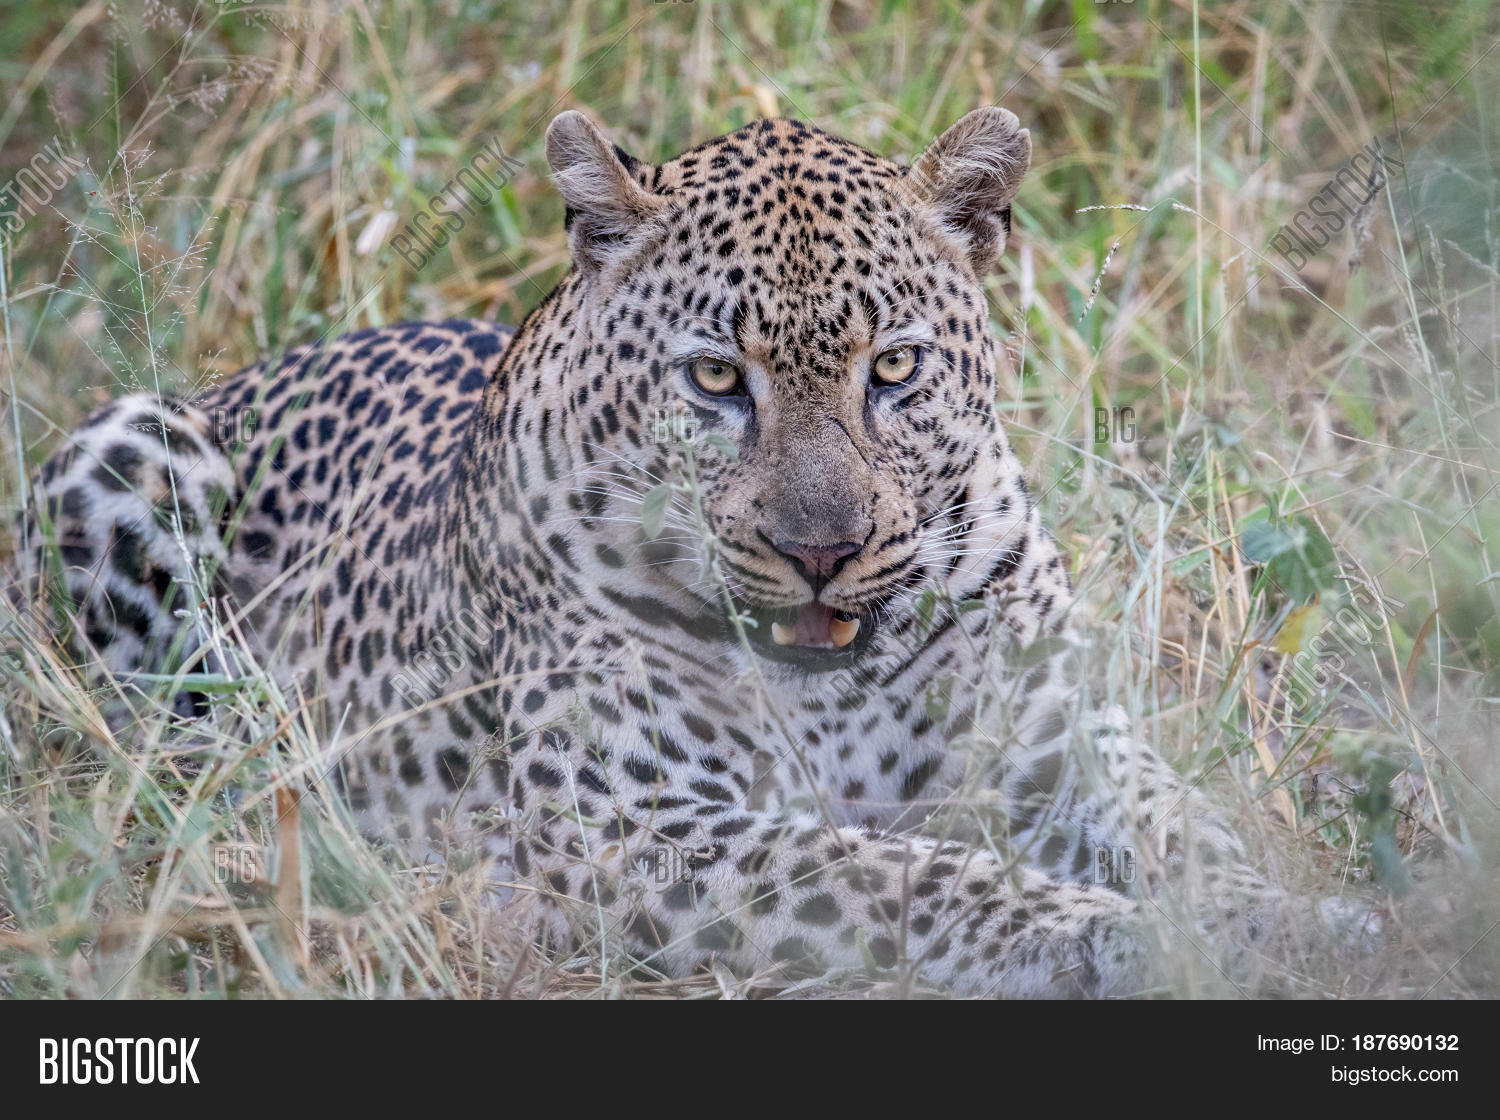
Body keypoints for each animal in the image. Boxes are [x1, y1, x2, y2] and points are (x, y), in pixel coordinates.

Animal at [11, 107, 1368, 997]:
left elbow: (1189, 830)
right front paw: (1100, 935)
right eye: (717, 379)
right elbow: (899, 873)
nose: (821, 551)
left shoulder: (1059, 748)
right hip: (128, 450)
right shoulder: (634, 824)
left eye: (895, 368)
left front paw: (1280, 923)